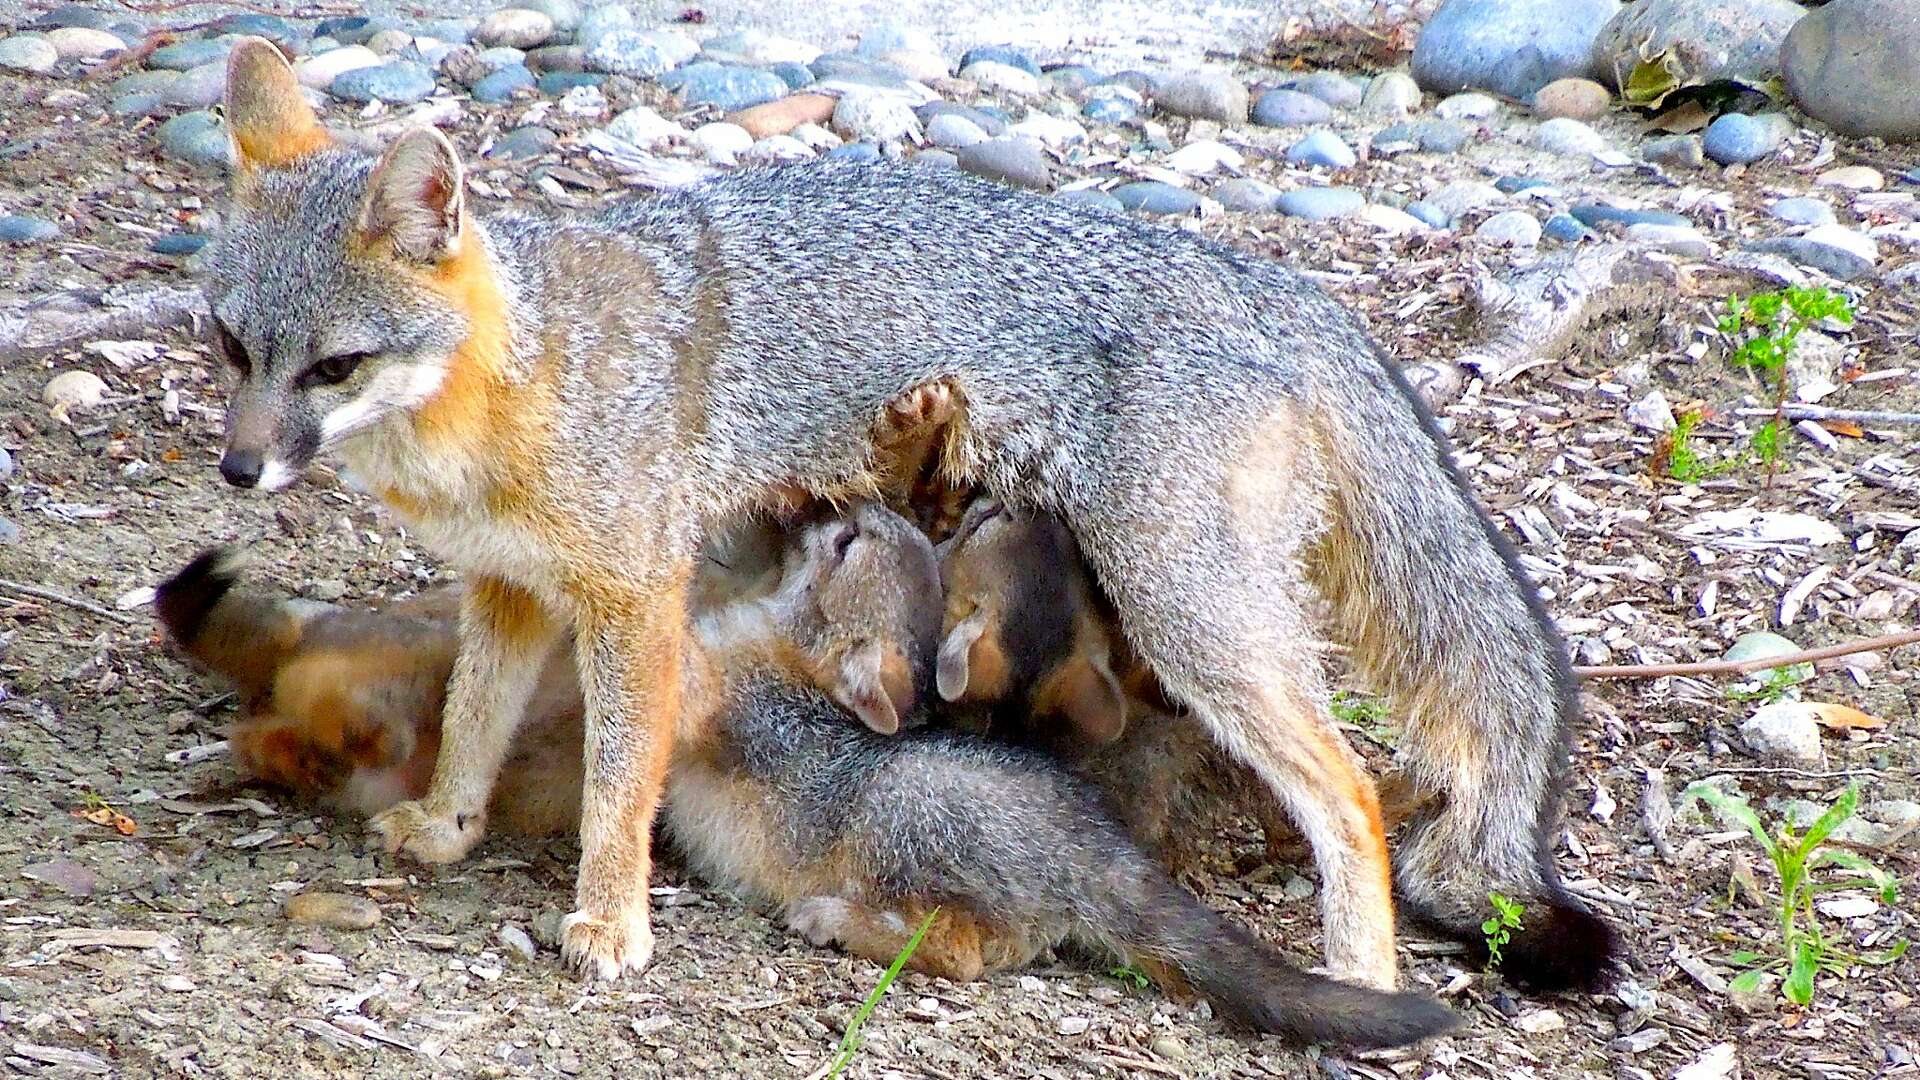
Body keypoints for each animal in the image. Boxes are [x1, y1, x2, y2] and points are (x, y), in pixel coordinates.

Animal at [203, 37, 1615, 991]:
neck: (524, 383)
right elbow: (471, 720)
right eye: (231, 349)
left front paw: (612, 922)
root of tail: (1273, 282)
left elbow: (619, 779)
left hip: (1185, 613)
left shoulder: (635, 602)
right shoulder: (511, 586)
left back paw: (1361, 975)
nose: (238, 472)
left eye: (332, 369)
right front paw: (447, 824)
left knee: (1354, 794)